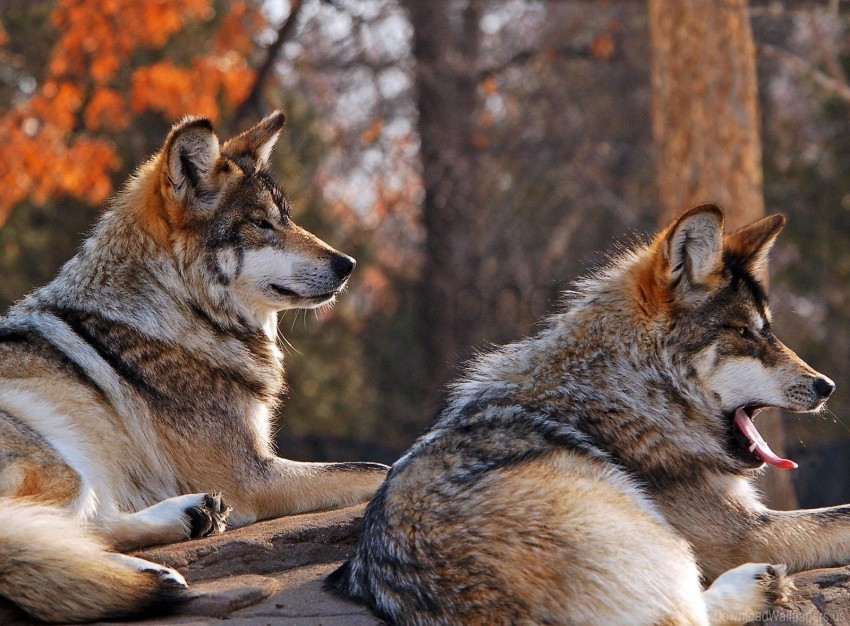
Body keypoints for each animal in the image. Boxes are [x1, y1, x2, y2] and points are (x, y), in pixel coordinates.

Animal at [0, 111, 388, 623]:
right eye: (261, 224)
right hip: (61, 461)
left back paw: (185, 524)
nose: (348, 264)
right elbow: (377, 469)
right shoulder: (251, 476)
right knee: (40, 535)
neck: (180, 311)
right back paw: (150, 569)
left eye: (286, 218)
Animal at [328, 205, 841, 626]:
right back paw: (758, 586)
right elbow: (840, 516)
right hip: (664, 541)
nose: (826, 386)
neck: (626, 390)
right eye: (743, 333)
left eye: (769, 330)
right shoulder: (749, 534)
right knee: (689, 615)